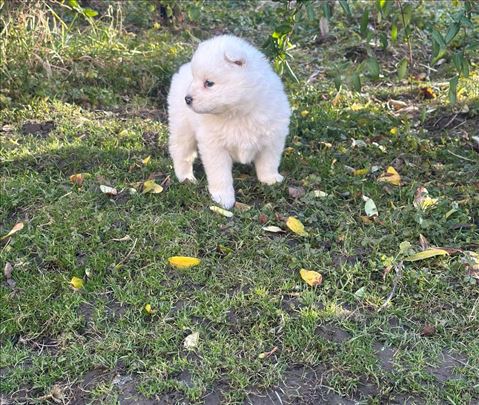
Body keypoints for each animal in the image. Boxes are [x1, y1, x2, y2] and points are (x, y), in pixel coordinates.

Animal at [167, 34, 290, 208]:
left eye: (209, 83)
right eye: (195, 78)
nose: (187, 99)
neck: (238, 113)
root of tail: (182, 69)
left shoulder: (272, 138)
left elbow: (269, 162)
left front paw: (270, 179)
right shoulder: (215, 147)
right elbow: (221, 175)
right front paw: (223, 198)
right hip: (182, 127)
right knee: (181, 152)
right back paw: (186, 177)